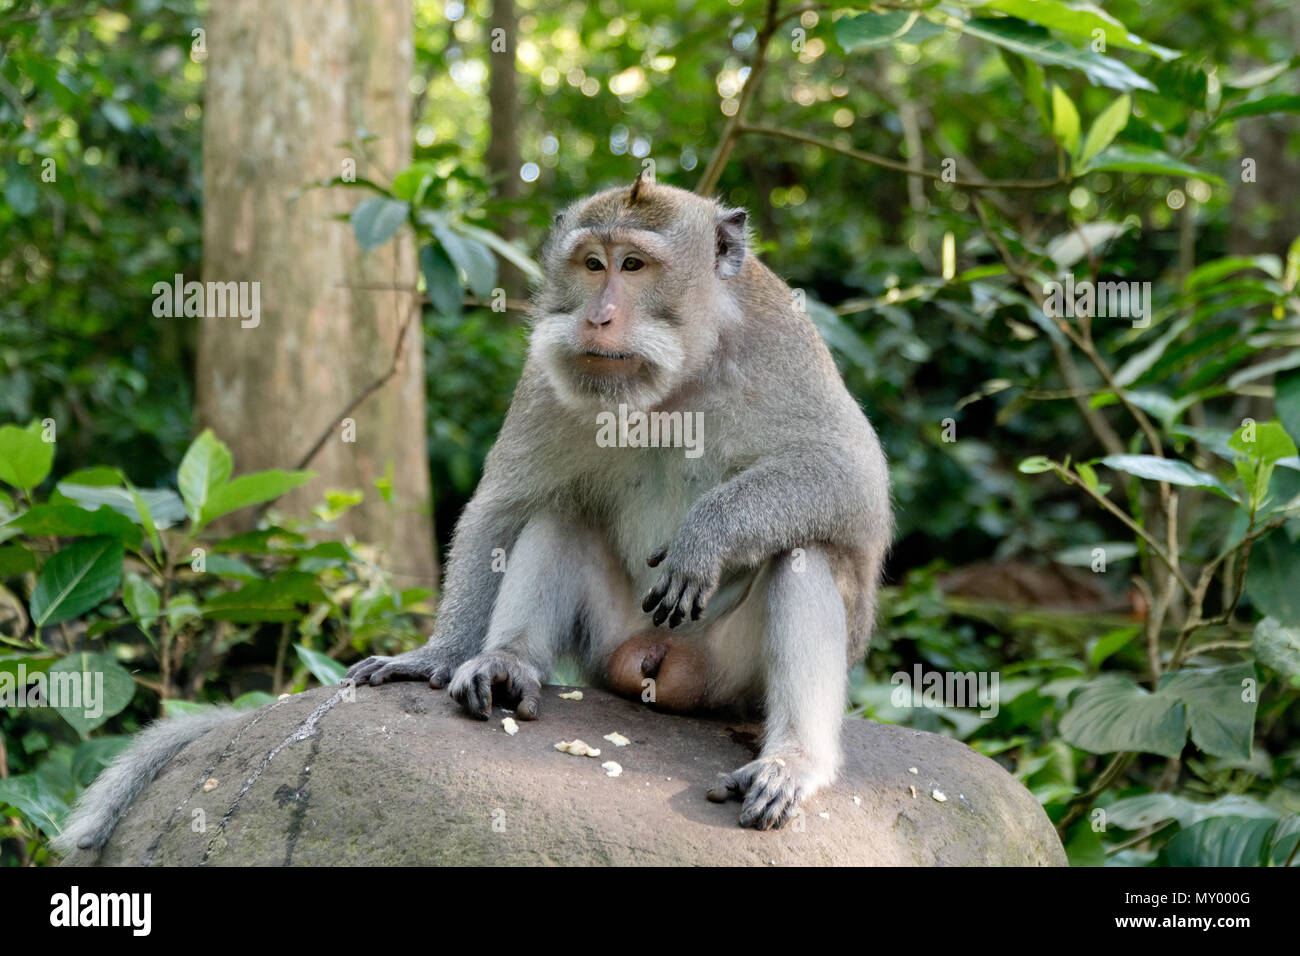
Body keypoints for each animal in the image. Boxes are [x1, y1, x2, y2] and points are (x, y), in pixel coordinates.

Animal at [54, 175, 890, 852]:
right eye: (592, 264)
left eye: (635, 266)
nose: (596, 319)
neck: (676, 380)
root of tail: (659, 669)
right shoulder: (548, 373)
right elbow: (503, 507)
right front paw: (438, 653)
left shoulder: (781, 344)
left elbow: (854, 482)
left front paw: (707, 536)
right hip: (612, 642)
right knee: (557, 516)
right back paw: (505, 663)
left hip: (727, 675)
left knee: (807, 551)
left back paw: (794, 760)